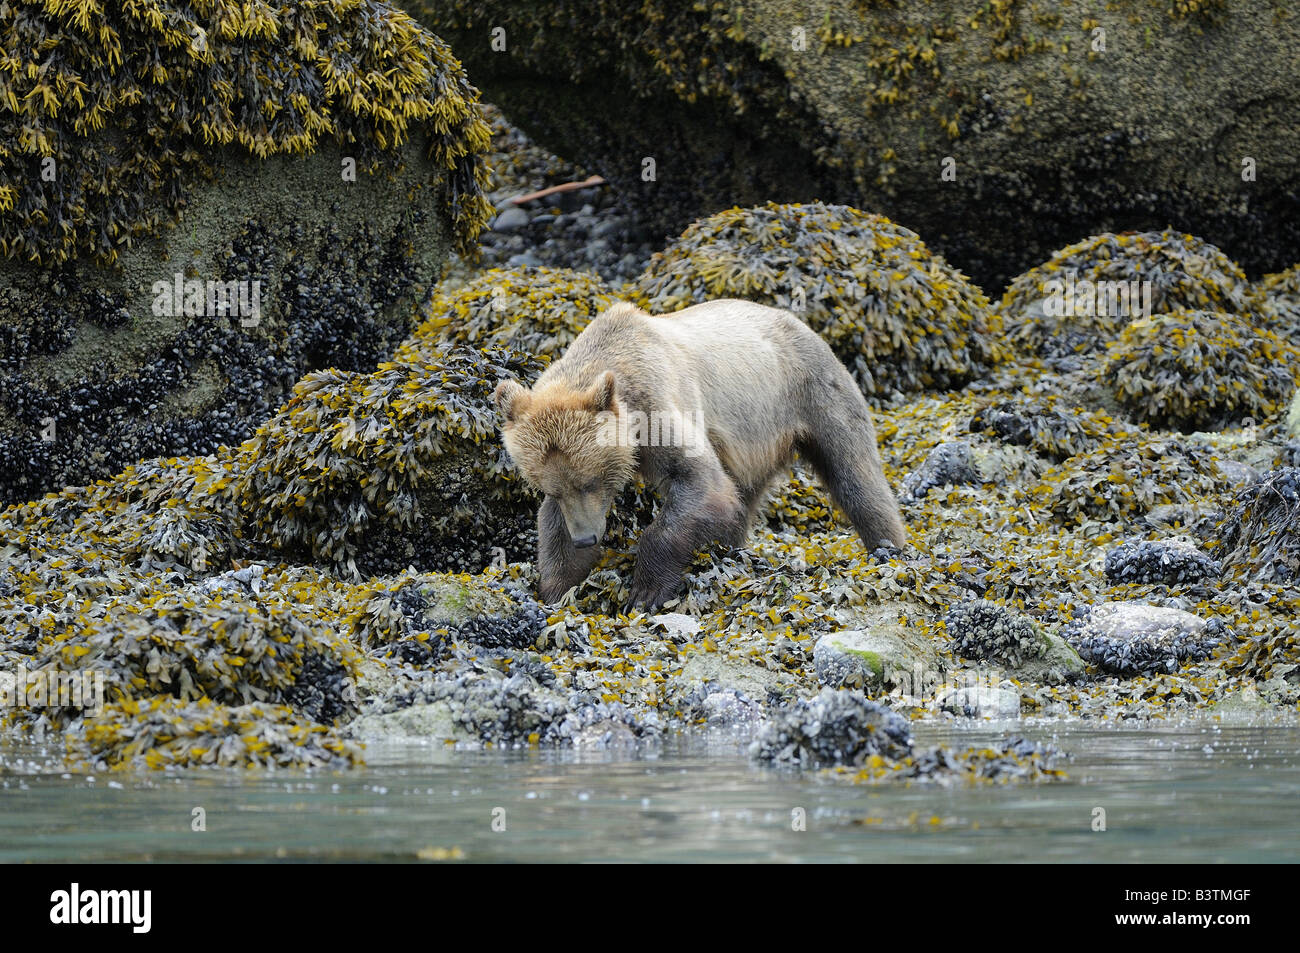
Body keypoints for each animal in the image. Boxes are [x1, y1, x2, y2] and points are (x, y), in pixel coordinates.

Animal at [493, 298, 906, 609]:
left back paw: (889, 550)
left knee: (855, 475)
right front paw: (556, 589)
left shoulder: (660, 405)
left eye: (590, 482)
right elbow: (553, 526)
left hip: (811, 393)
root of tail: (801, 324)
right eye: (550, 487)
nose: (586, 538)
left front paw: (645, 592)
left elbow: (703, 483)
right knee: (744, 496)